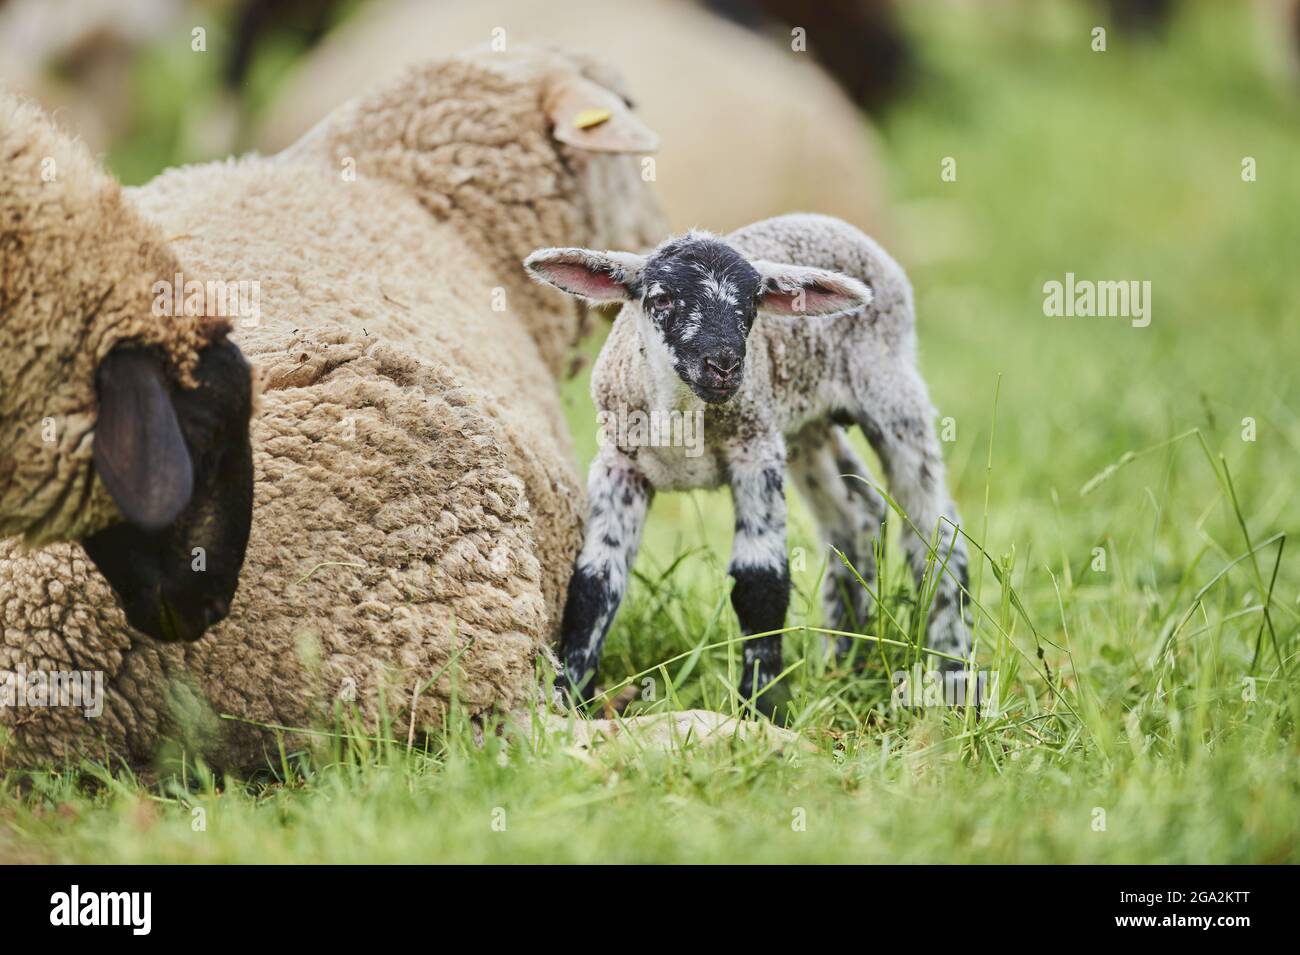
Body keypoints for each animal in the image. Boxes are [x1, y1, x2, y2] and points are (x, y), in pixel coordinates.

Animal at [525, 213, 973, 708]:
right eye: (661, 298)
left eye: (754, 304)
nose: (724, 364)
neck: (681, 421)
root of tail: (828, 221)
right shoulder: (618, 464)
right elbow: (596, 580)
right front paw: (569, 695)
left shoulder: (754, 453)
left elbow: (760, 581)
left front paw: (762, 704)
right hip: (804, 427)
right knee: (854, 511)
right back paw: (844, 659)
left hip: (892, 393)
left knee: (936, 530)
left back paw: (953, 674)